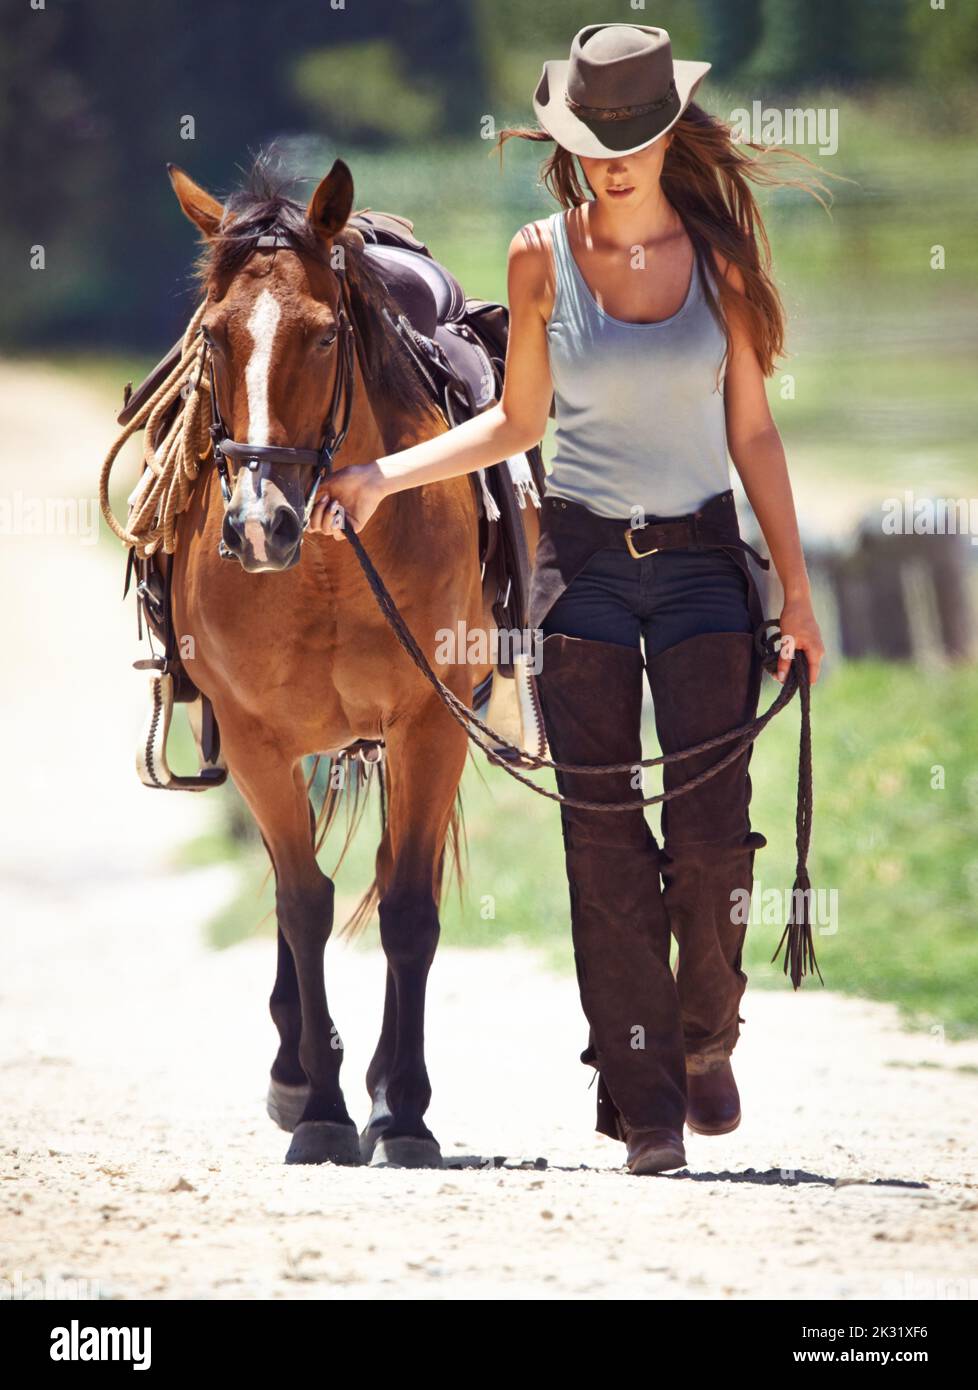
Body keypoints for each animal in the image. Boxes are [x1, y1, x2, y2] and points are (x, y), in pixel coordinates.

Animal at [165, 157, 538, 1167]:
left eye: (325, 335)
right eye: (214, 336)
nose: (259, 525)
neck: (330, 565)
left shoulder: (427, 727)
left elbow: (407, 909)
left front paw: (399, 1110)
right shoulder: (256, 739)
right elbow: (302, 906)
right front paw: (320, 1105)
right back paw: (297, 1070)